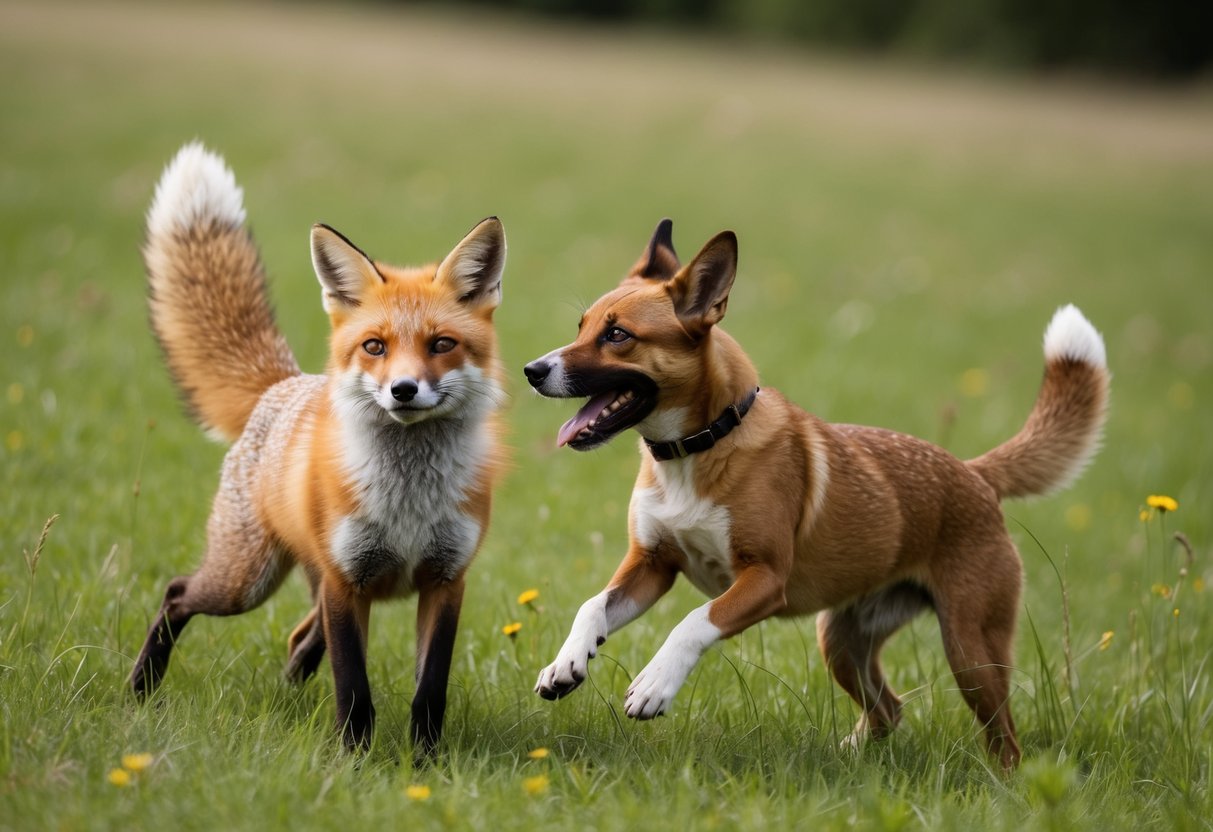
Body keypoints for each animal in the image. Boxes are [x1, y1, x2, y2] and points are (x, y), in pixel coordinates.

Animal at [130, 142, 506, 755]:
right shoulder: (343, 581)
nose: (404, 389)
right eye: (375, 347)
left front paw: (425, 762)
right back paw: (142, 686)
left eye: (442, 344)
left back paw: (285, 692)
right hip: (246, 580)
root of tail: (283, 383)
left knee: (300, 638)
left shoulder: (445, 581)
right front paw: (353, 761)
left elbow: (429, 692)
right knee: (178, 592)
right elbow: (353, 690)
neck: (408, 498)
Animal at [523, 219, 1108, 768]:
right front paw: (567, 662)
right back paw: (849, 756)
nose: (533, 370)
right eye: (582, 327)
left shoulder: (763, 579)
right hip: (844, 644)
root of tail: (974, 473)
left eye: (619, 335)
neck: (702, 446)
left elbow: (694, 622)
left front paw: (654, 686)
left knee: (1004, 739)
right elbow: (592, 607)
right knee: (890, 709)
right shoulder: (651, 566)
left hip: (971, 650)